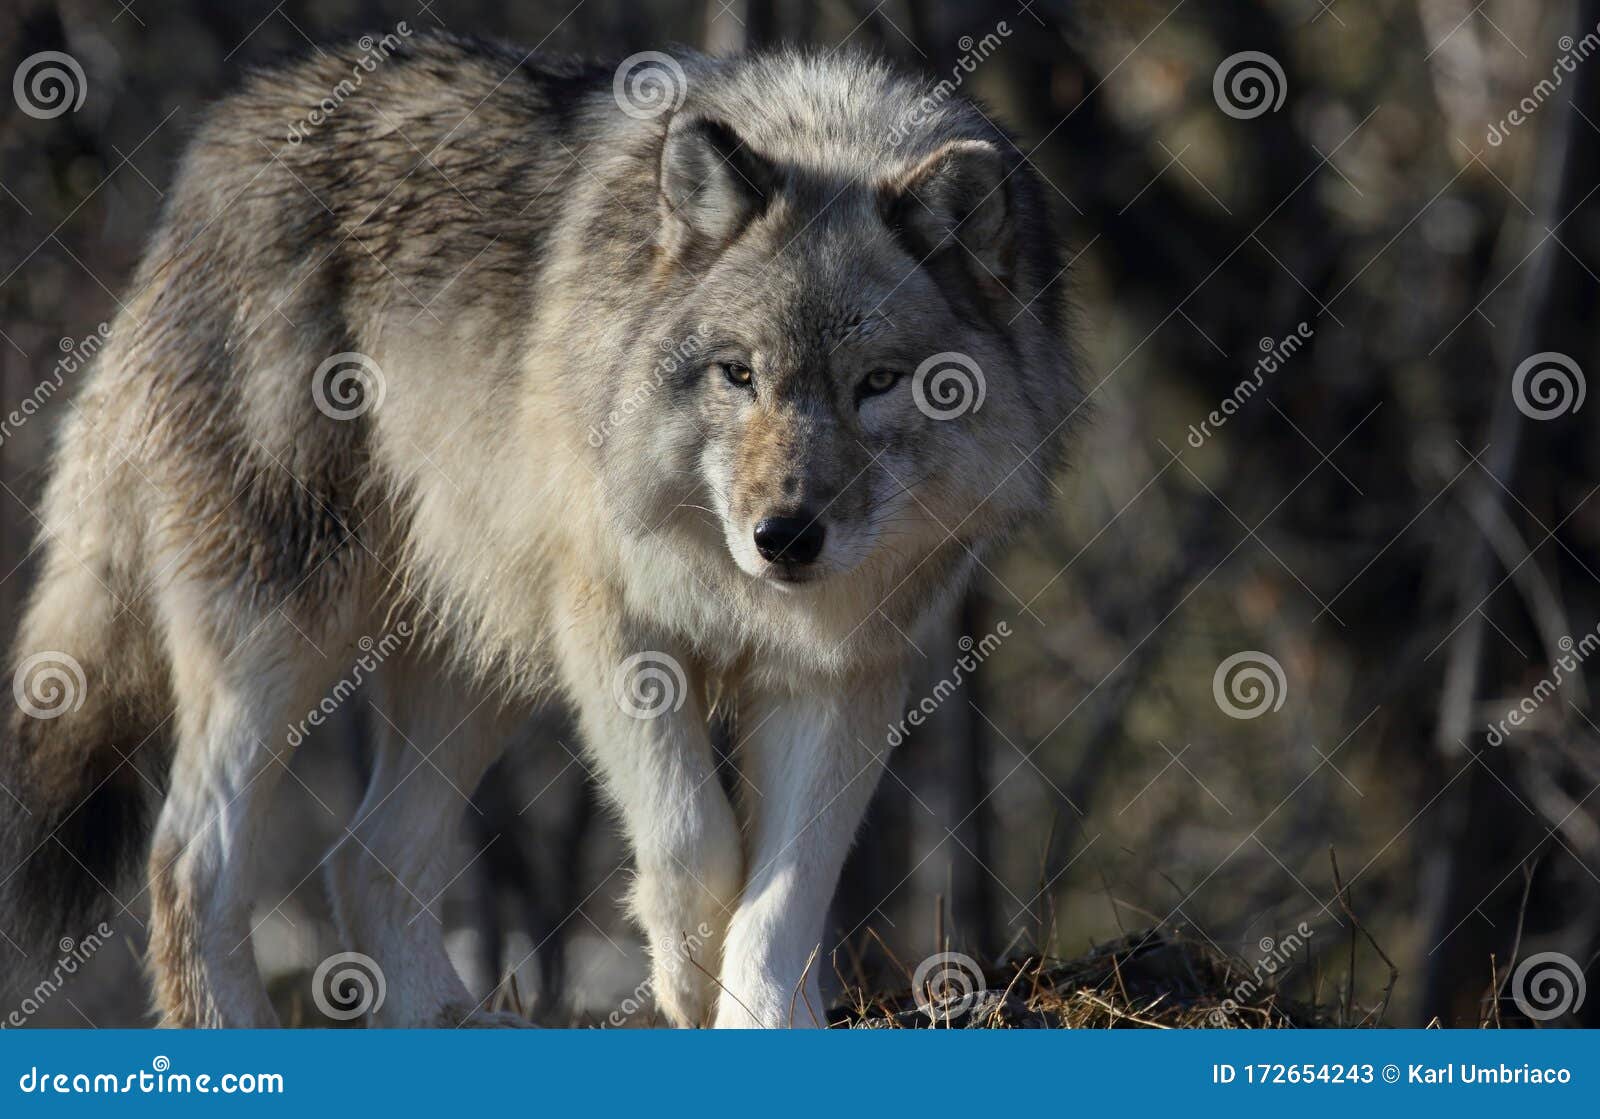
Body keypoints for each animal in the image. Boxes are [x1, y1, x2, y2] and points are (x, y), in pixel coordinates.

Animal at [0, 32, 1077, 1027]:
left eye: (878, 384)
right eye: (738, 374)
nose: (784, 535)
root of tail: (220, 144)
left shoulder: (842, 673)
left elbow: (783, 901)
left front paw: (759, 1017)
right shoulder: (615, 627)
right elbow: (697, 844)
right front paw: (687, 983)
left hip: (472, 658)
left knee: (366, 857)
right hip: (282, 633)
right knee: (191, 860)